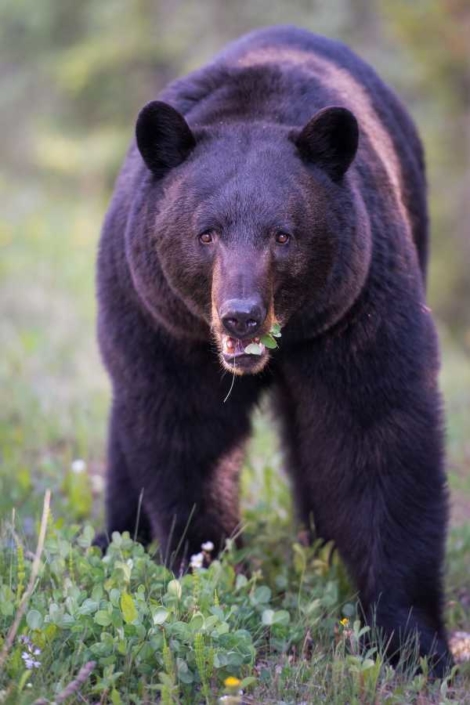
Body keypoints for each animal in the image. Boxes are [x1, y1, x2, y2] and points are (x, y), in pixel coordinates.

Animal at [96, 26, 451, 674]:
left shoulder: (360, 303)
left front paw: (413, 642)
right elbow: (186, 437)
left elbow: (378, 433)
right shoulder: (166, 325)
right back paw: (114, 539)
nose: (241, 315)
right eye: (205, 233)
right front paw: (200, 572)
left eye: (284, 236)